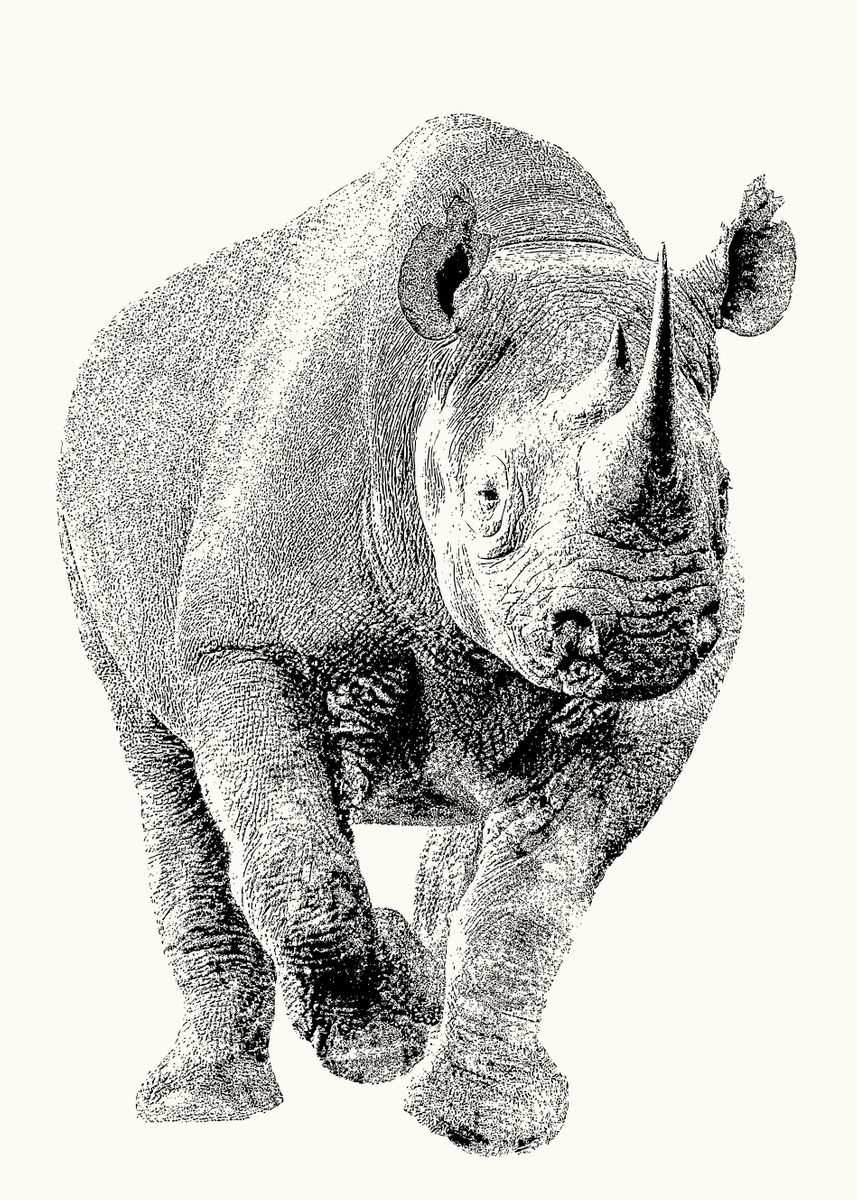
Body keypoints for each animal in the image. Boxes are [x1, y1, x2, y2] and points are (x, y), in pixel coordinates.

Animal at [58, 114, 795, 1154]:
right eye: (486, 499)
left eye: (724, 492)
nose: (640, 633)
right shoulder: (238, 641)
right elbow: (292, 851)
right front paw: (377, 1040)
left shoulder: (671, 694)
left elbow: (533, 898)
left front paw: (480, 1127)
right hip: (85, 520)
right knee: (161, 760)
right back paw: (198, 1110)